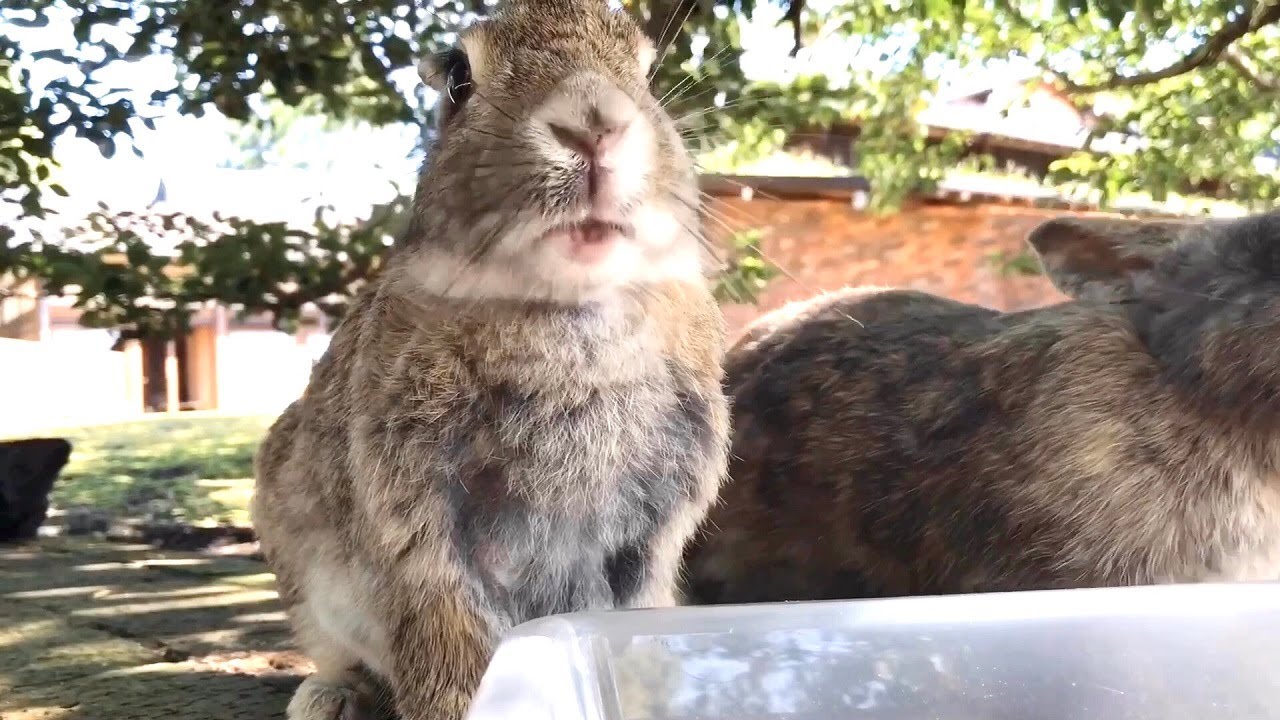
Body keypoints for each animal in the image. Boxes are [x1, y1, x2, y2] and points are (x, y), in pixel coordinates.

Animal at [249, 0, 730, 718]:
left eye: (649, 74)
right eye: (458, 81)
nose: (593, 125)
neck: (566, 303)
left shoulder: (646, 542)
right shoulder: (427, 543)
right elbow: (452, 653)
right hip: (299, 568)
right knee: (338, 652)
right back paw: (328, 697)